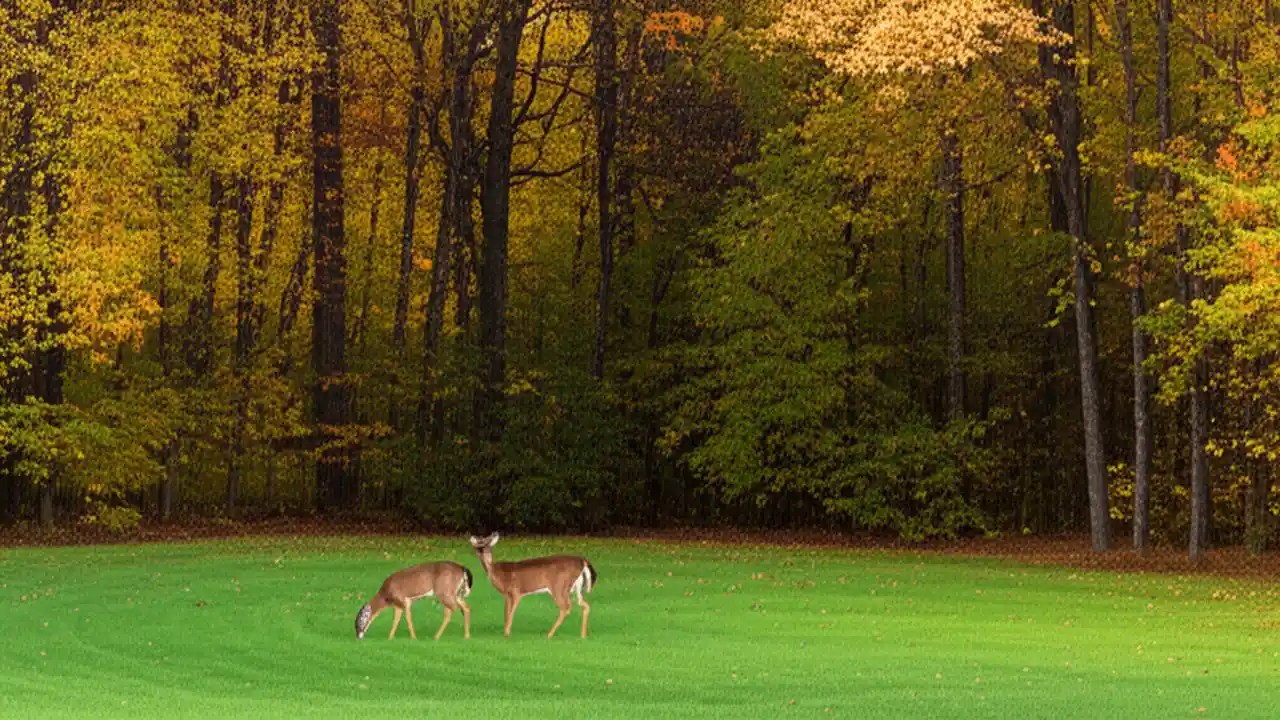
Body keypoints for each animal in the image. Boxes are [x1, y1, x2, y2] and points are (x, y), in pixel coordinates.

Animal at [469, 532, 598, 638]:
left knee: (566, 607)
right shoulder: (507, 594)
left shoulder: (516, 591)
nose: (495, 532)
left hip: (559, 586)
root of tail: (583, 561)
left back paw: (549, 634)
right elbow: (506, 612)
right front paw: (505, 632)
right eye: (483, 539)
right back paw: (583, 635)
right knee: (585, 606)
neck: (497, 572)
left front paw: (507, 634)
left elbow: (511, 613)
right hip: (575, 588)